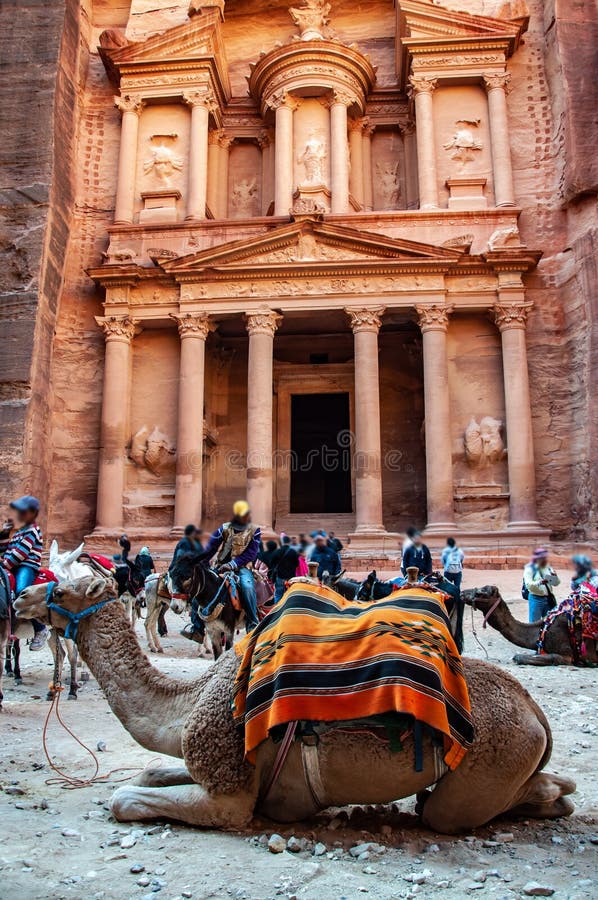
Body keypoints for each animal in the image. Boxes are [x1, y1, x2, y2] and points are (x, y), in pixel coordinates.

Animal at [15, 575, 575, 833]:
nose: (20, 599)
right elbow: (149, 773)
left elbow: (125, 798)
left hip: (490, 762)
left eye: (63, 586)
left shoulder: (230, 794)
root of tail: (536, 712)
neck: (188, 703)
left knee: (451, 808)